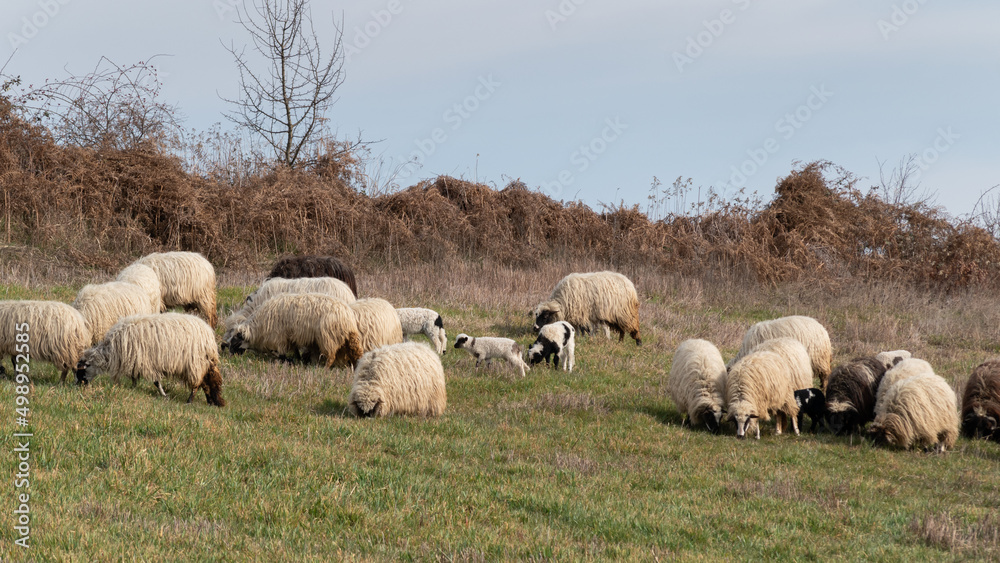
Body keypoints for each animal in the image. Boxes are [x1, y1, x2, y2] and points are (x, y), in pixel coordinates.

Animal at [75, 313, 225, 406]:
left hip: (195, 364)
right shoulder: (136, 361)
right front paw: (133, 388)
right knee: (206, 383)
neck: (111, 350)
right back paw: (209, 401)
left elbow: (156, 382)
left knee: (197, 384)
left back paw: (189, 401)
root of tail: (209, 335)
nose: (76, 386)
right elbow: (134, 377)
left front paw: (164, 395)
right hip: (202, 364)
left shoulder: (147, 362)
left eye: (82, 371)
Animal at [226, 293, 364, 368]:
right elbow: (295, 350)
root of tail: (347, 316)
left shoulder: (280, 336)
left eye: (235, 341)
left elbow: (282, 353)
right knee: (355, 351)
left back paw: (324, 368)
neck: (259, 327)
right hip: (347, 337)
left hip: (328, 337)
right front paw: (298, 360)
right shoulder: (291, 337)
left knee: (331, 356)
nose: (230, 355)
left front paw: (287, 361)